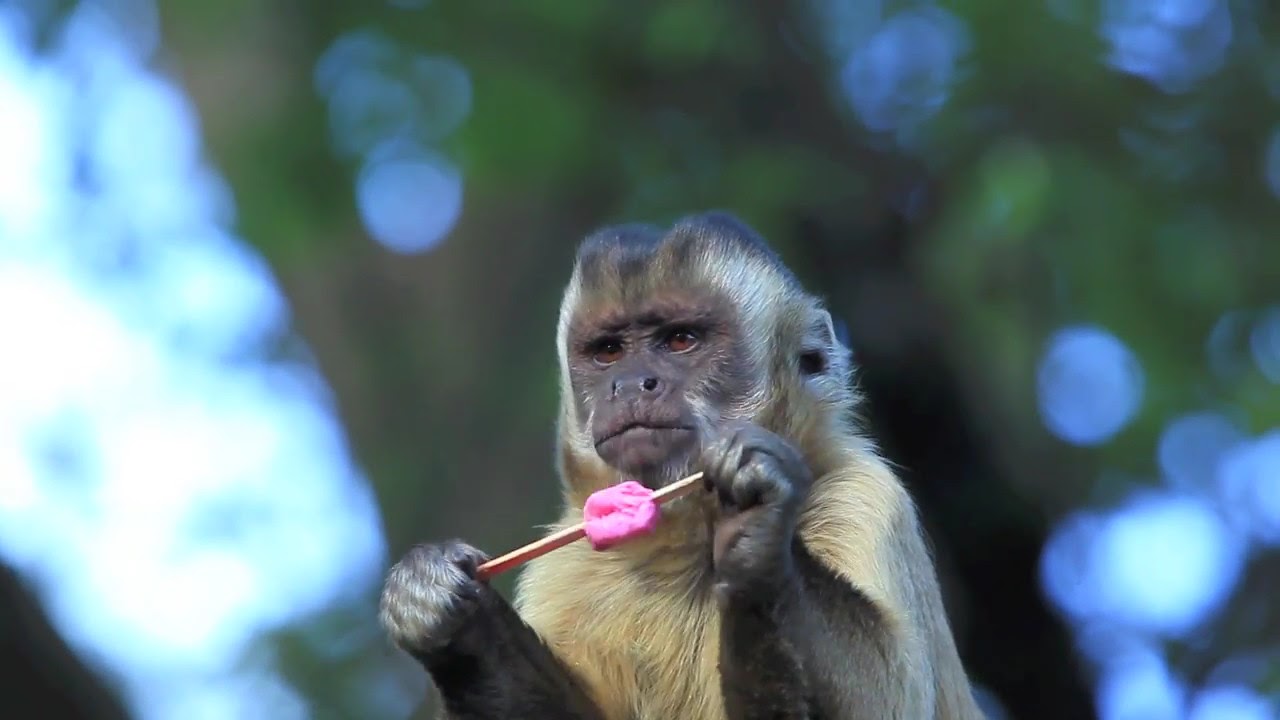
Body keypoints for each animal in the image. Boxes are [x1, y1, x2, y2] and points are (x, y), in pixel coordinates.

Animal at [379, 211, 984, 719]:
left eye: (680, 340)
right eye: (608, 352)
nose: (630, 383)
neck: (686, 538)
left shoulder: (865, 497)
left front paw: (762, 539)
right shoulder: (564, 568)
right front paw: (456, 622)